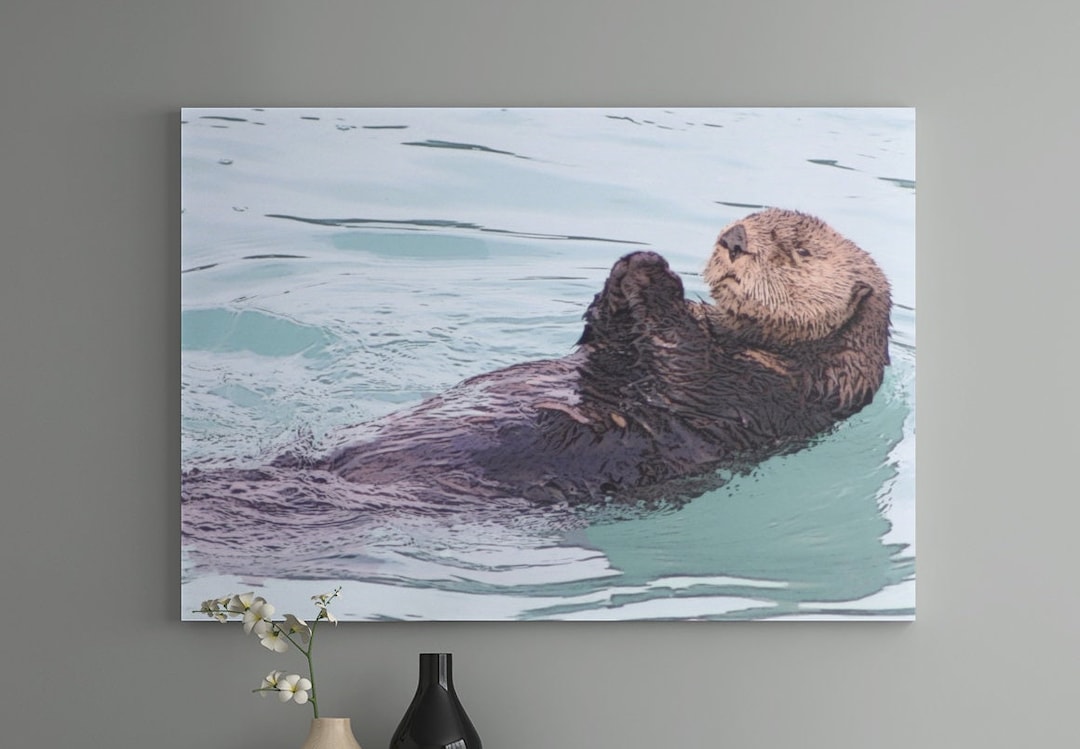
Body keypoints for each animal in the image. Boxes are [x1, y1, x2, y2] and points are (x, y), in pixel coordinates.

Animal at [231, 208, 890, 507]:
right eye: (746, 216)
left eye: (800, 252)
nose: (733, 239)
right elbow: (608, 346)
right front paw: (634, 268)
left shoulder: (764, 394)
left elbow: (683, 362)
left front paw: (656, 278)